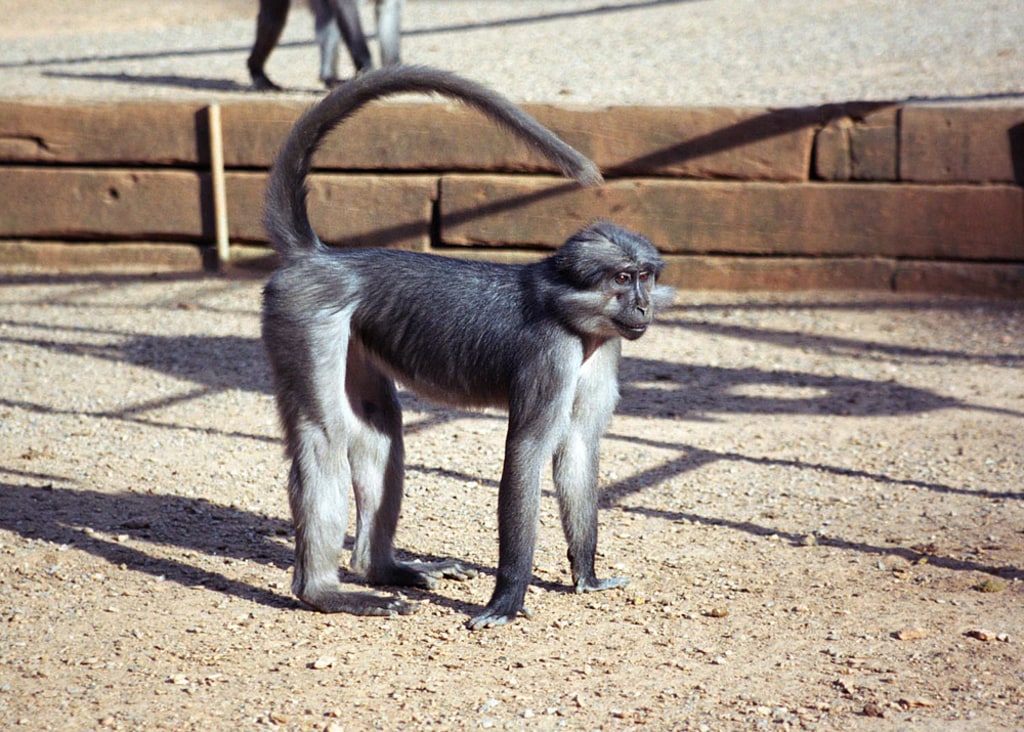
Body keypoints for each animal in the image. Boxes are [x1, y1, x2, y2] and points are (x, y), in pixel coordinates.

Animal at [248, 0, 403, 91]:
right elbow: (346, 5)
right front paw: (368, 71)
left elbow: (388, 7)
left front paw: (393, 72)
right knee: (273, 19)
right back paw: (257, 73)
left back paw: (328, 78)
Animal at [260, 65, 670, 628]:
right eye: (623, 278)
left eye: (646, 277)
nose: (643, 307)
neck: (569, 309)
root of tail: (321, 260)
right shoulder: (552, 354)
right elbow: (526, 452)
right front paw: (507, 599)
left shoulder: (603, 349)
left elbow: (579, 448)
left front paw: (586, 575)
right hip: (307, 317)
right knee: (324, 435)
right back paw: (323, 591)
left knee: (380, 430)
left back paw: (381, 569)